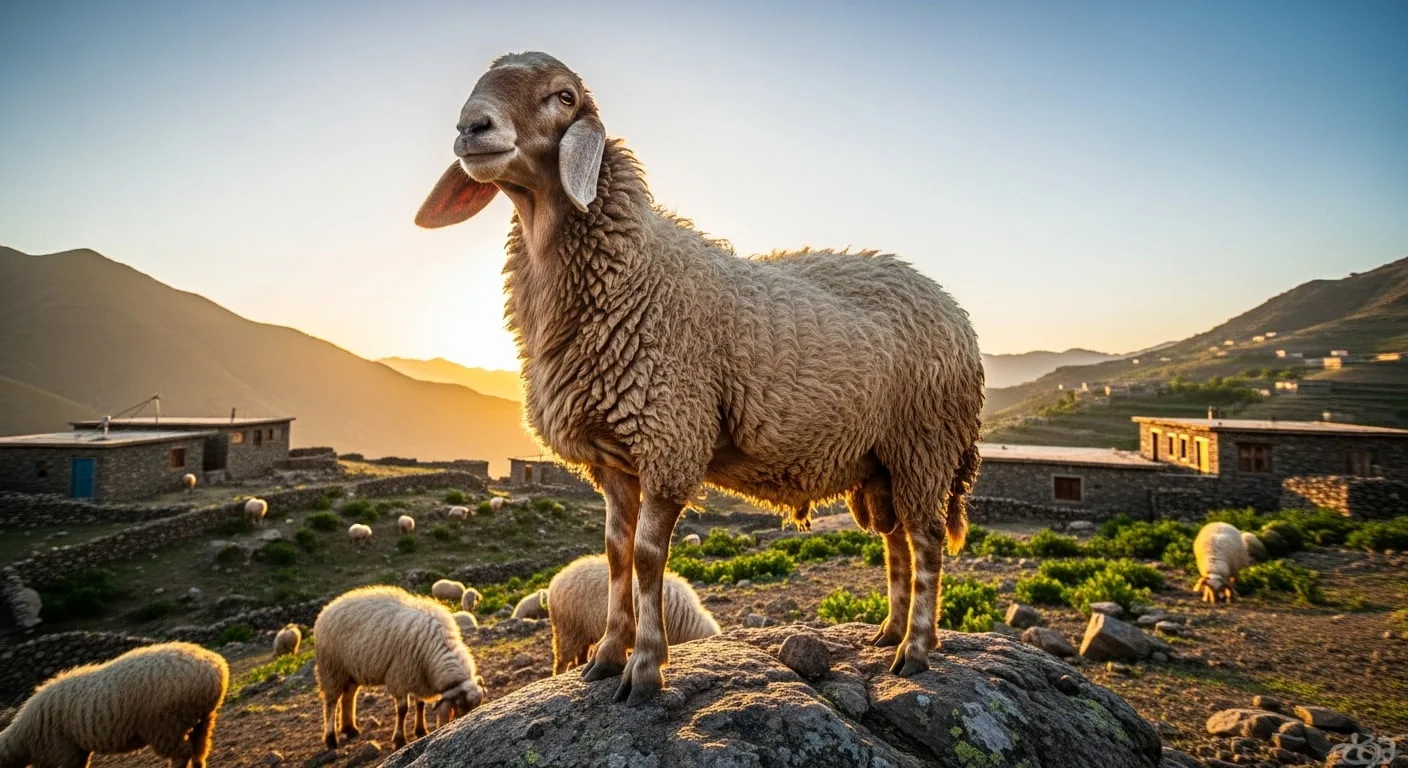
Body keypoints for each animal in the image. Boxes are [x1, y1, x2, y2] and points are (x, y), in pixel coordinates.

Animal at [0, 641, 228, 768]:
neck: (21, 740)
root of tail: (214, 668)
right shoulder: (75, 750)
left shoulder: (63, 751)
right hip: (203, 717)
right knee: (200, 749)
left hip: (166, 725)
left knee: (182, 754)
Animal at [313, 585, 485, 750]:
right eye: (460, 706)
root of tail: (328, 608)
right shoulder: (399, 676)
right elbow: (403, 710)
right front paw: (399, 740)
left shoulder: (417, 677)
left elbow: (420, 704)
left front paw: (421, 730)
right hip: (332, 668)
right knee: (331, 702)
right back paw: (331, 739)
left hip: (351, 670)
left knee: (348, 696)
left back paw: (350, 729)